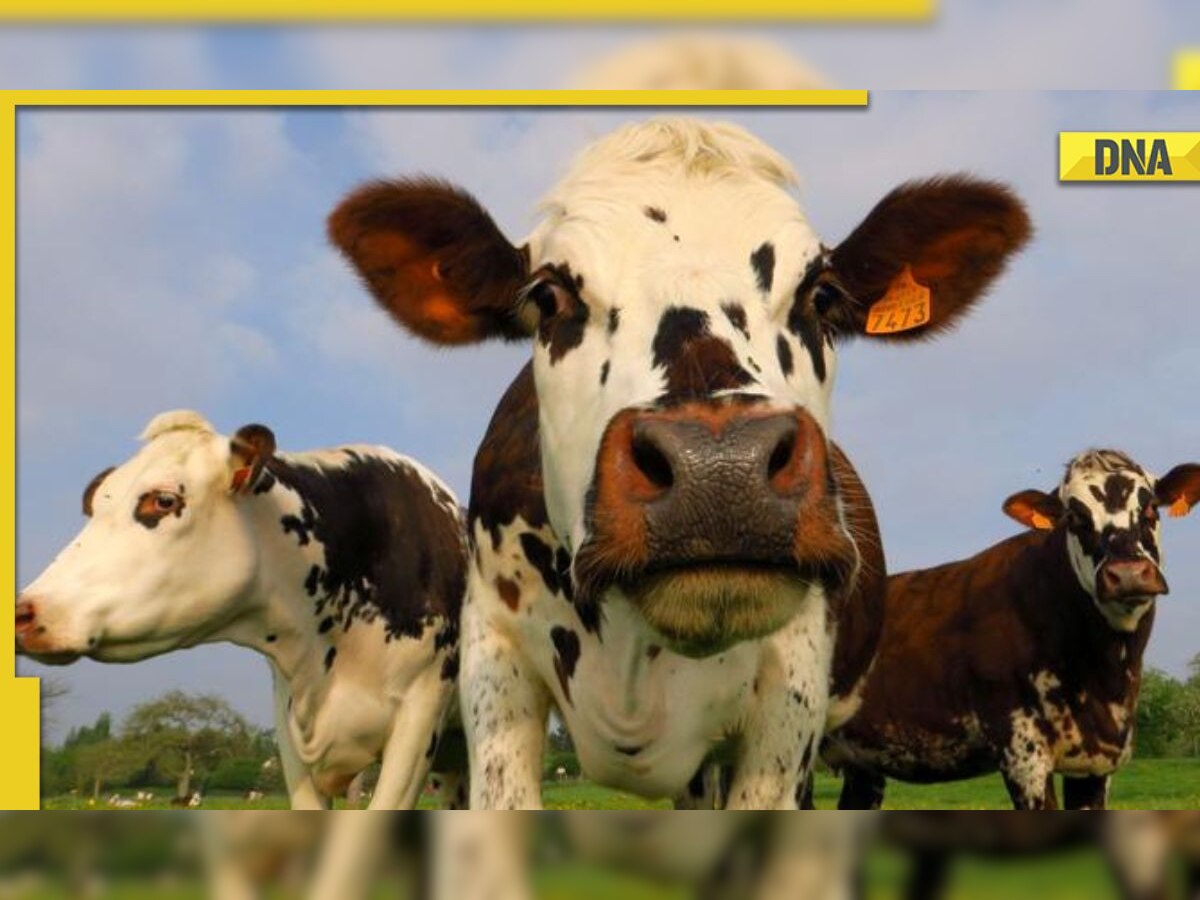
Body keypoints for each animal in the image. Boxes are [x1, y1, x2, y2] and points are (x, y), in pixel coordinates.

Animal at [825, 449, 1200, 810]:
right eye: (1074, 518)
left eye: (1150, 507)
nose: (1128, 574)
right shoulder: (1023, 751)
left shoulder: (1096, 762)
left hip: (864, 764)